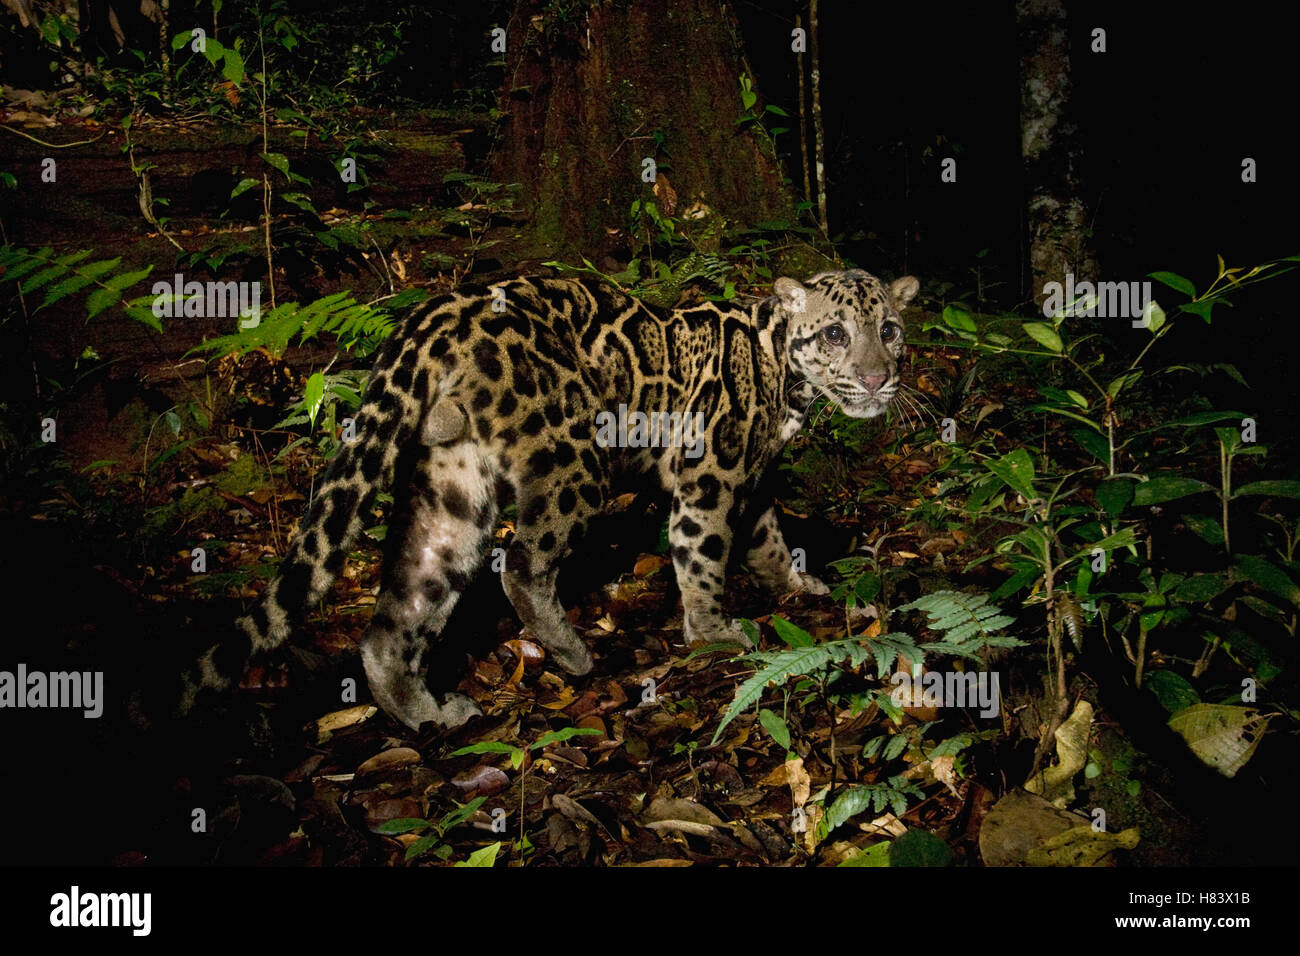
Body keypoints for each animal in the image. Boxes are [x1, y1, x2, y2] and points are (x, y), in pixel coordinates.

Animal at [182, 269, 918, 732]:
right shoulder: (710, 472)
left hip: (450, 489)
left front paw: (798, 586)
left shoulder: (755, 477)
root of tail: (431, 315)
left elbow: (766, 541)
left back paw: (428, 715)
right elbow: (702, 550)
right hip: (575, 458)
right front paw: (713, 631)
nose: (877, 379)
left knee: (397, 618)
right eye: (835, 334)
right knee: (521, 564)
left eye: (891, 329)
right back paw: (573, 652)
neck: (784, 377)